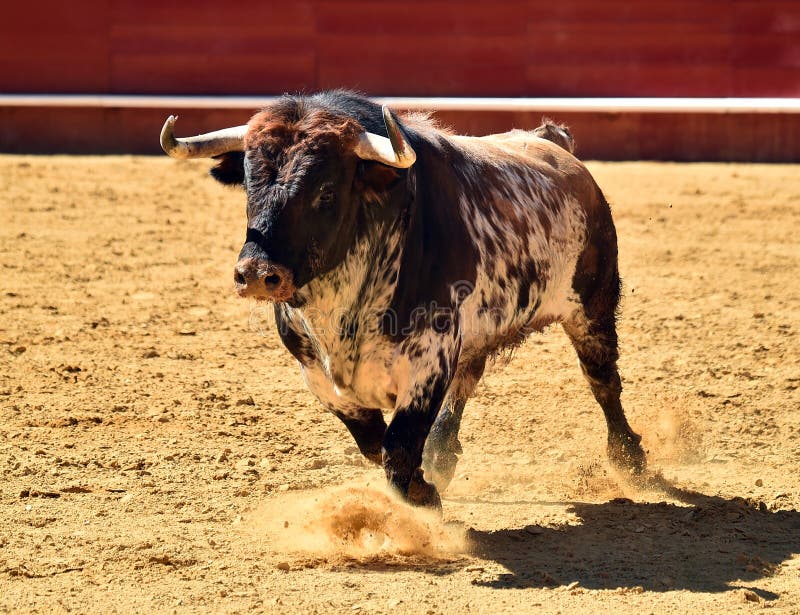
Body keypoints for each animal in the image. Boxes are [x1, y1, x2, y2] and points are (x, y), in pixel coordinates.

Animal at [159, 90, 645, 509]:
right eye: (249, 184)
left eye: (326, 191)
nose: (258, 274)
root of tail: (553, 143)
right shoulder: (317, 372)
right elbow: (374, 442)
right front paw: (425, 479)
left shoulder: (429, 358)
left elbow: (399, 444)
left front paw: (421, 495)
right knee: (468, 380)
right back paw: (443, 455)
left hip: (593, 305)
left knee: (602, 380)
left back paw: (630, 460)